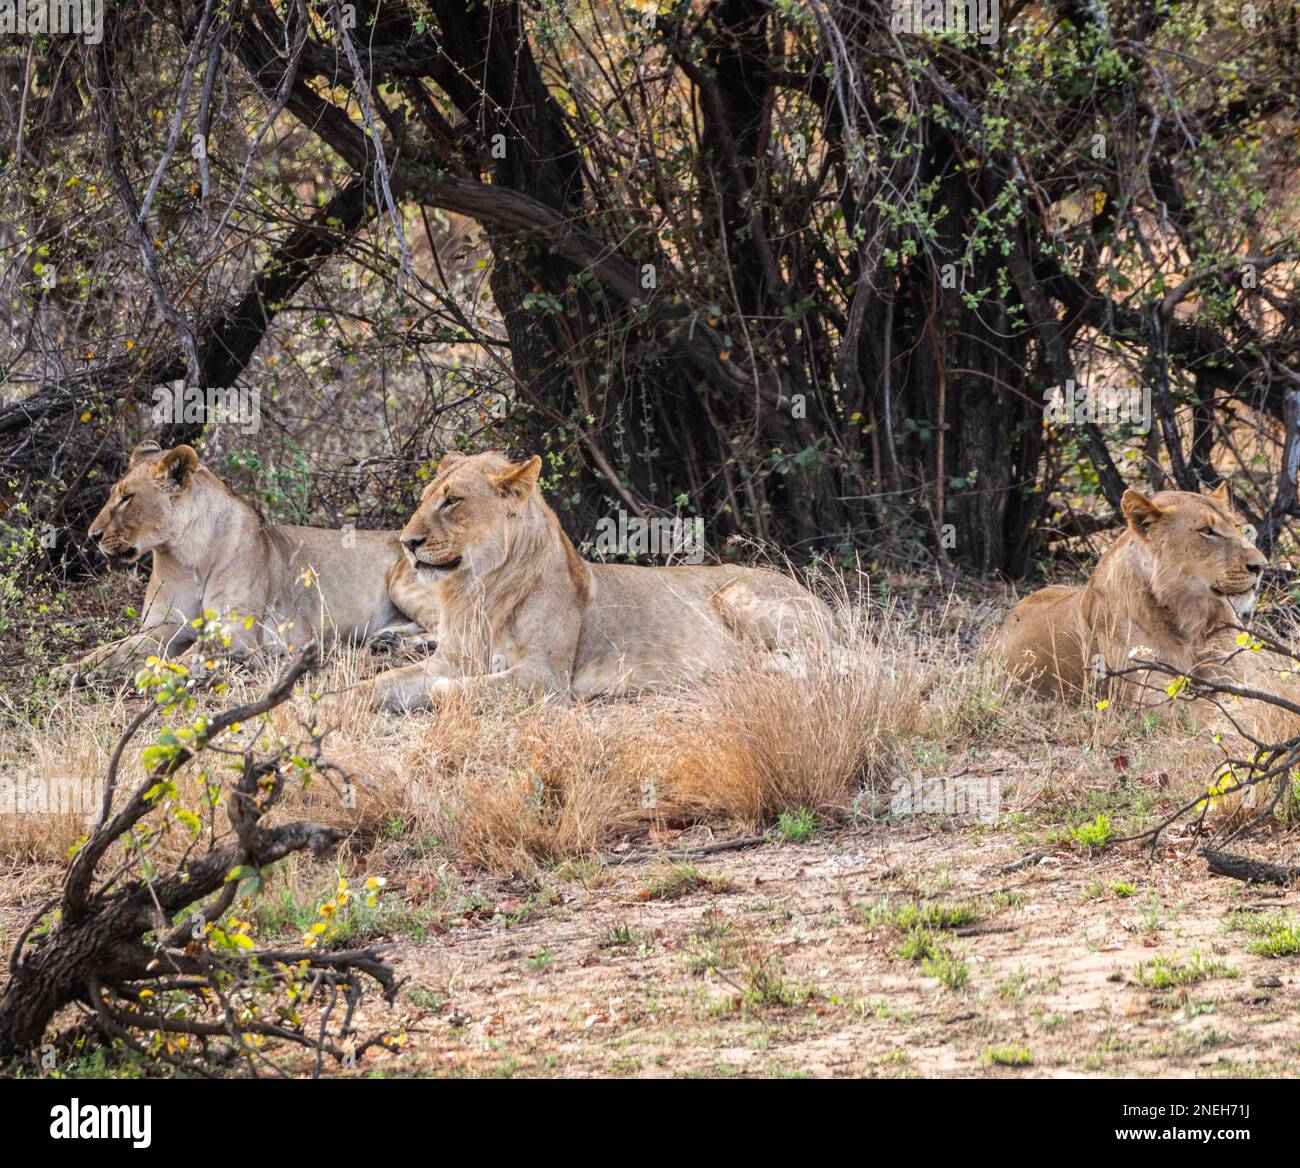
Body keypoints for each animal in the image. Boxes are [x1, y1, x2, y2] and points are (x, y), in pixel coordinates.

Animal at [64, 441, 439, 679]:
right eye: (115, 495)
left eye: (127, 498)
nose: (92, 535)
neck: (186, 554)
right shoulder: (164, 627)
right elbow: (116, 649)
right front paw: (73, 669)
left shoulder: (235, 633)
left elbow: (179, 661)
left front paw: (148, 674)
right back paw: (387, 640)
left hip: (403, 582)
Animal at [353, 451, 832, 711]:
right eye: (425, 499)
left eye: (452, 501)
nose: (407, 542)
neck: (477, 588)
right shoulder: (451, 659)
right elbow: (376, 685)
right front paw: (339, 707)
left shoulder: (545, 679)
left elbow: (457, 691)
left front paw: (441, 692)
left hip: (737, 594)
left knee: (831, 657)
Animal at [991, 483, 1266, 704]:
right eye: (1207, 531)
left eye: (1237, 527)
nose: (1261, 566)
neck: (1192, 621)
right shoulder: (1157, 701)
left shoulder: (1240, 679)